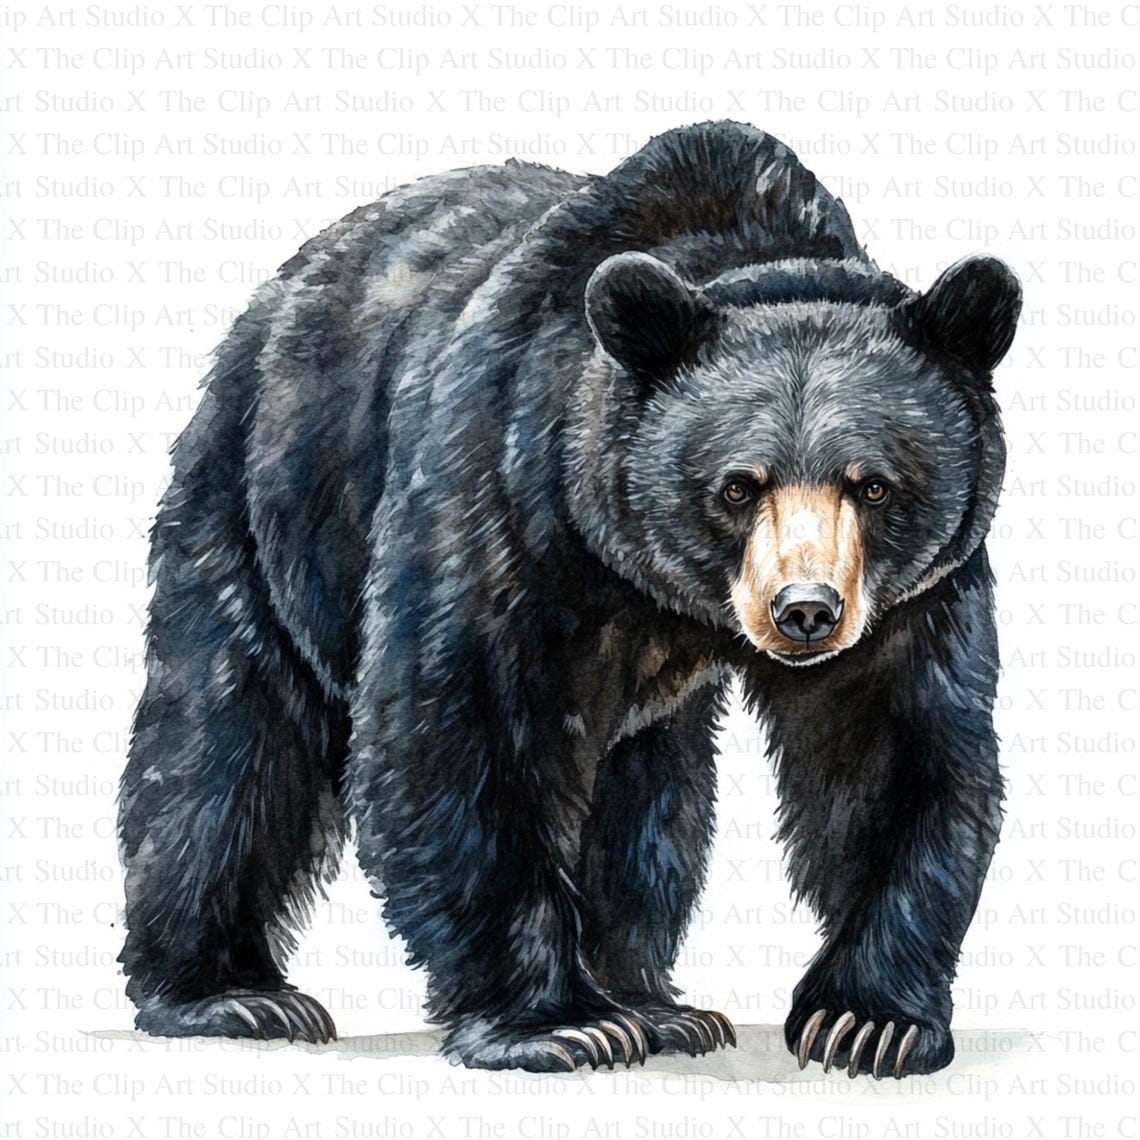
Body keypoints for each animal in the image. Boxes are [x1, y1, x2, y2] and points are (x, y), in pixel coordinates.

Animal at [118, 120, 1021, 1079]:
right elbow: (458, 725)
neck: (652, 585)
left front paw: (868, 1020)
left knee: (649, 802)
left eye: (875, 485)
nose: (805, 610)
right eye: (738, 485)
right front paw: (554, 1023)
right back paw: (228, 993)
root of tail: (282, 292)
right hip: (264, 509)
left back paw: (653, 1003)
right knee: (230, 744)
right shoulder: (507, 493)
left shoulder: (910, 594)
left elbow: (888, 748)